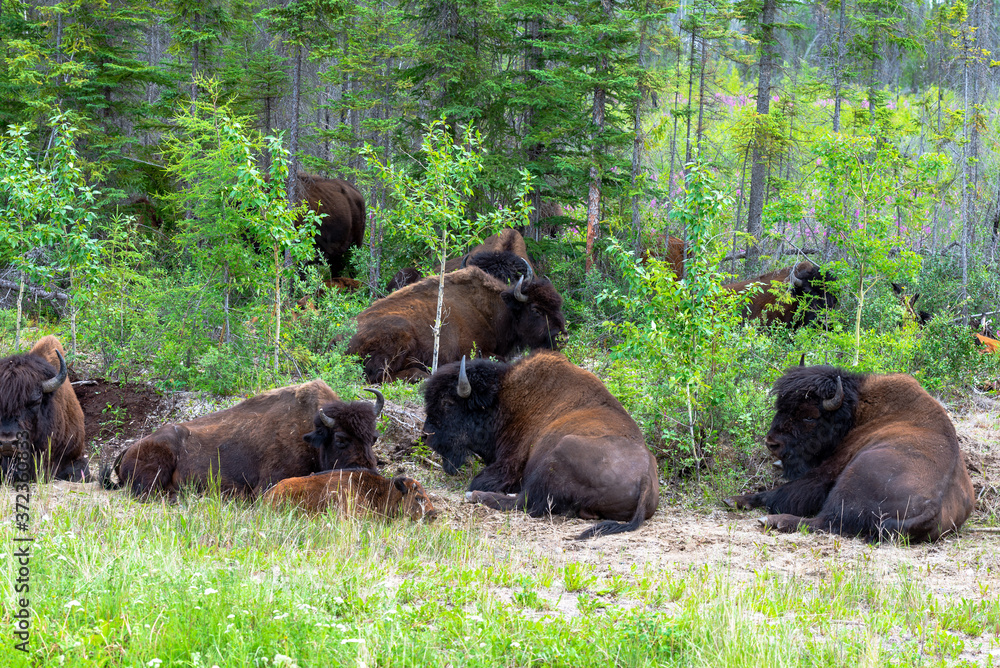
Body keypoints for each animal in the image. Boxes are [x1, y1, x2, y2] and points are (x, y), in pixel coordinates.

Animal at [348, 262, 565, 383]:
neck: (499, 310)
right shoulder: (472, 352)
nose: (562, 337)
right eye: (536, 309)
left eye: (559, 305)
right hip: (400, 334)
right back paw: (422, 375)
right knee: (377, 377)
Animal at [422, 351, 659, 539]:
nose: (427, 436)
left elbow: (481, 480)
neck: (503, 400)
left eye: (447, 403)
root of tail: (645, 477)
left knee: (525, 501)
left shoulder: (509, 464)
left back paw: (474, 496)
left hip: (560, 449)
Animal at [726, 362, 974, 542]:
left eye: (809, 416)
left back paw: (772, 520)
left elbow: (784, 492)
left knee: (826, 521)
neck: (857, 409)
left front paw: (736, 499)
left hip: (853, 477)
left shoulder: (830, 468)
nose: (772, 443)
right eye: (780, 406)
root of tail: (932, 506)